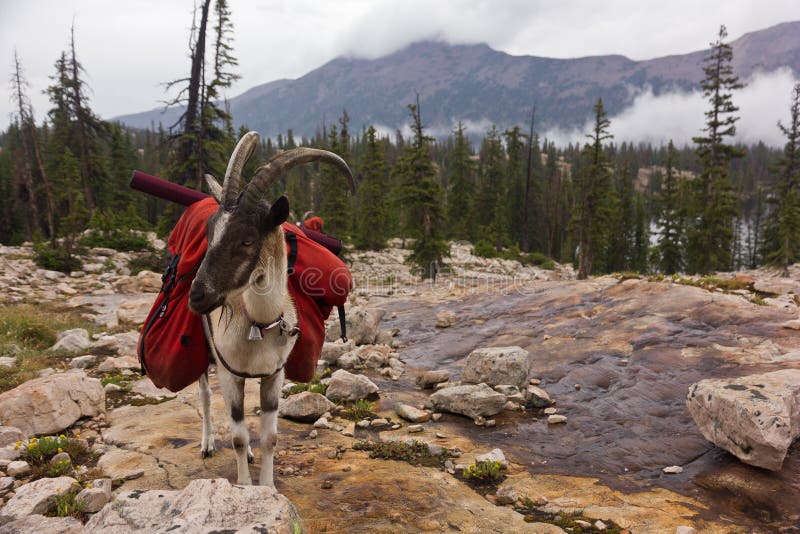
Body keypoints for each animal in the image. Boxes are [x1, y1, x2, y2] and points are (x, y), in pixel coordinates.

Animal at [188, 131, 354, 486]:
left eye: (248, 240)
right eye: (209, 233)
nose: (197, 296)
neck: (259, 324)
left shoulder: (274, 375)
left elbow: (270, 437)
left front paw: (267, 487)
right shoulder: (228, 372)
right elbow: (237, 436)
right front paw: (244, 486)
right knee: (205, 394)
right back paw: (207, 444)